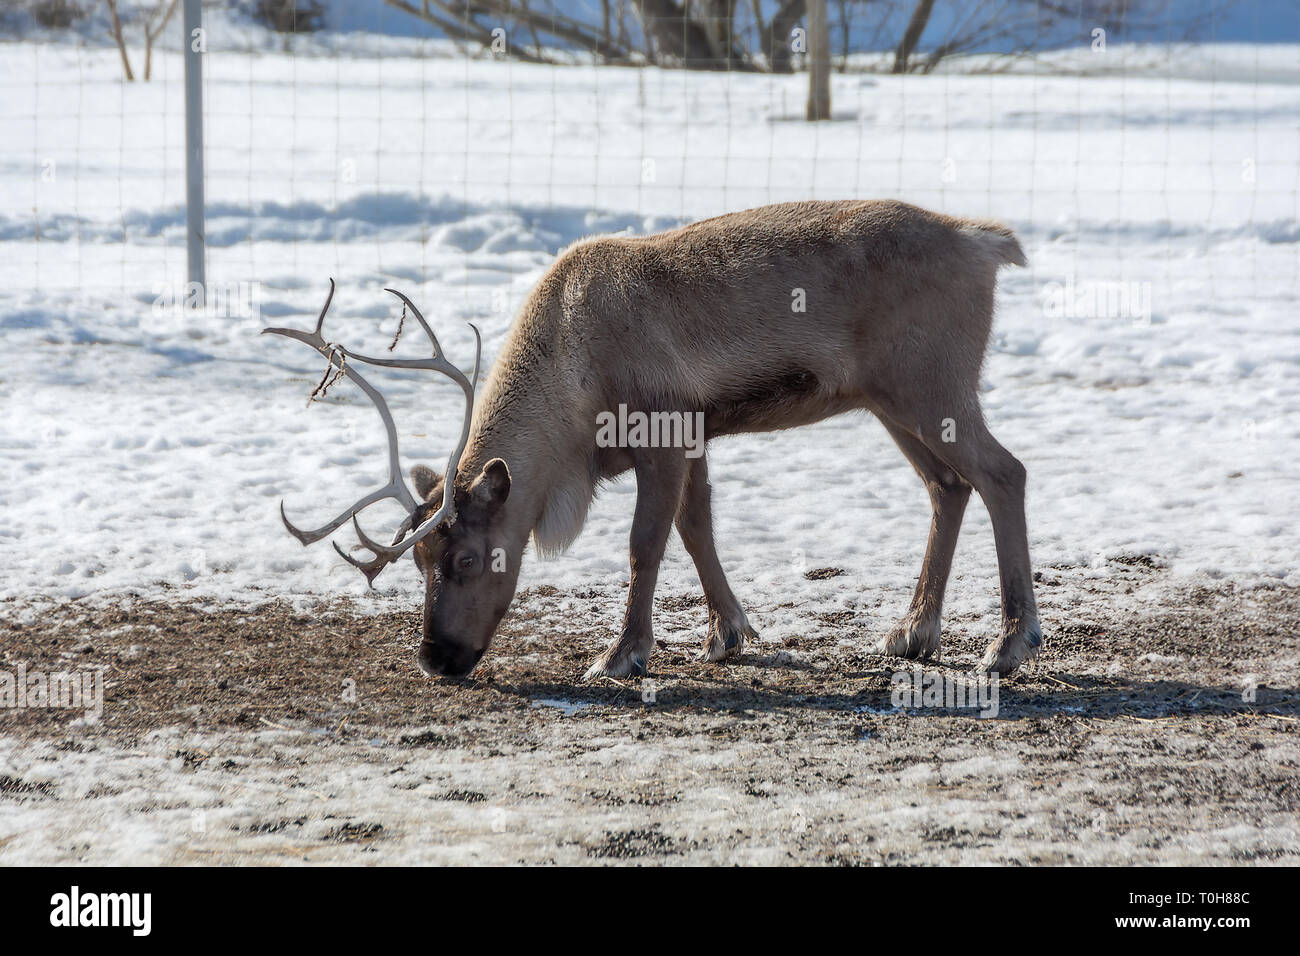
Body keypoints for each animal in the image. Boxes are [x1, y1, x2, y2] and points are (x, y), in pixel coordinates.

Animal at [264, 199, 1041, 681]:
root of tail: (986, 242)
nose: (435, 658)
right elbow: (697, 531)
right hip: (888, 401)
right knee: (948, 486)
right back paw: (914, 631)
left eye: (466, 557)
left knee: (1004, 473)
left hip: (931, 386)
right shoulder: (695, 436)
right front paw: (726, 634)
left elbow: (646, 543)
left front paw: (622, 655)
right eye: (420, 557)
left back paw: (1009, 643)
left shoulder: (661, 430)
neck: (571, 378)